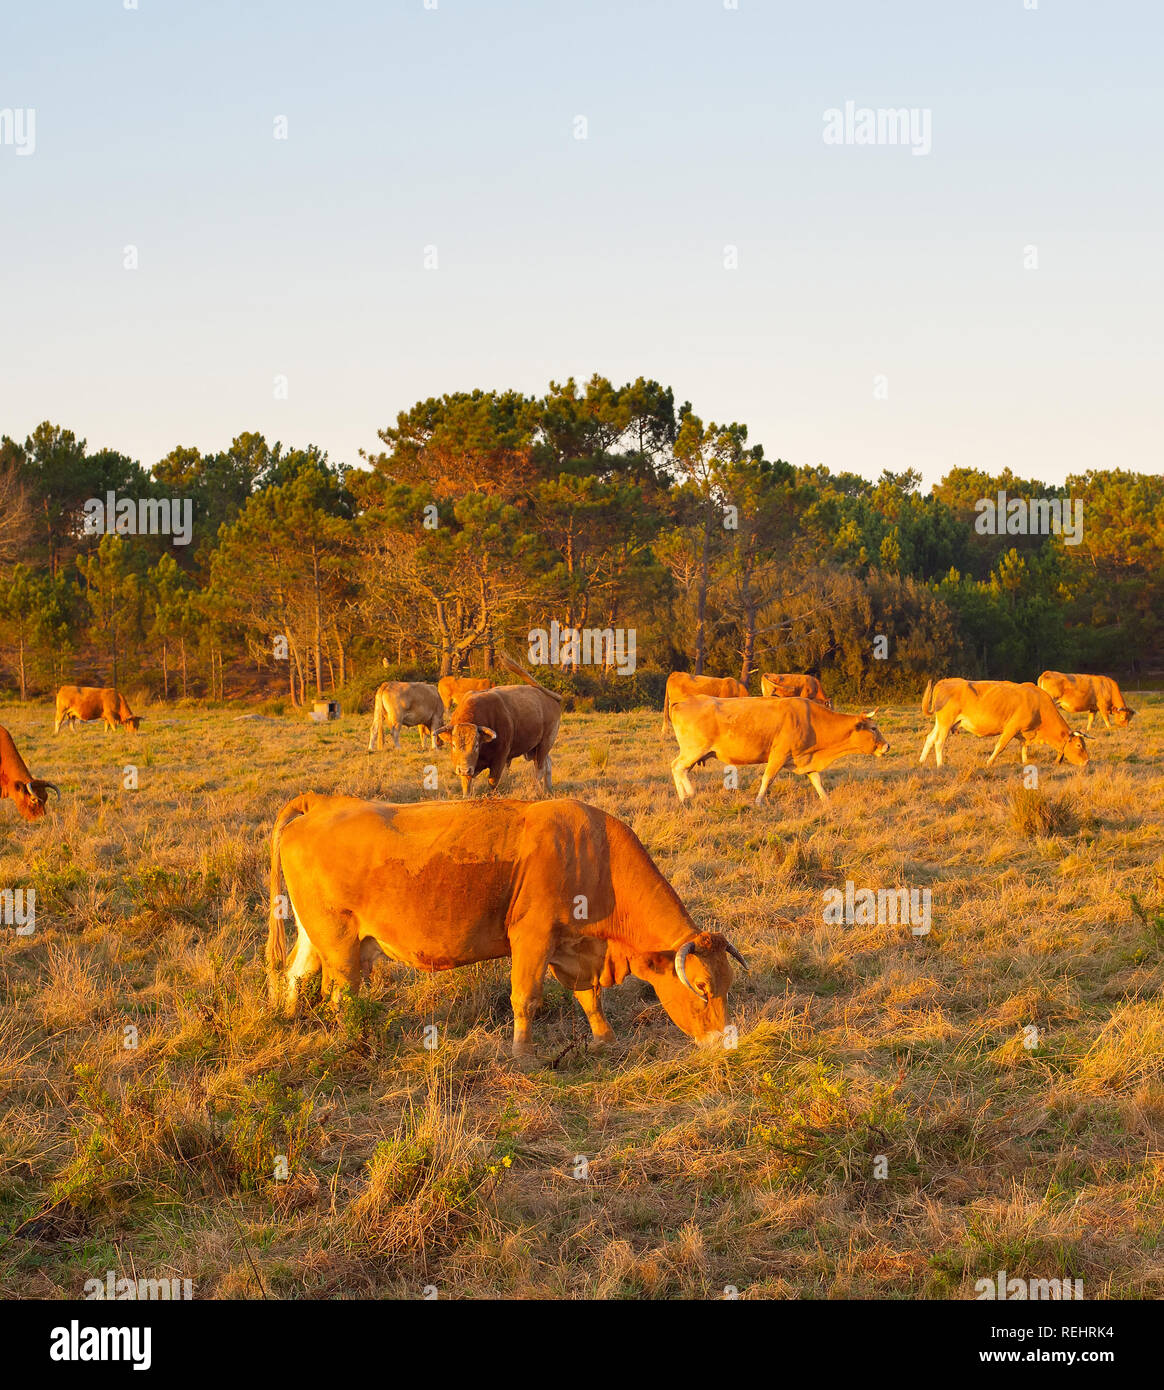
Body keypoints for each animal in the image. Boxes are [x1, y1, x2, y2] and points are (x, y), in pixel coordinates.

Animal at [265, 791, 747, 1056]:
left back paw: (289, 1020)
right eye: (702, 988)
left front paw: (605, 1039)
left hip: (315, 937)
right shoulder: (532, 939)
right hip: (341, 945)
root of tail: (324, 802)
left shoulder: (575, 949)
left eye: (727, 986)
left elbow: (589, 999)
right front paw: (523, 1053)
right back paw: (355, 1044)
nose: (727, 1043)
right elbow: (525, 999)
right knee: (341, 997)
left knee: (295, 975)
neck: (594, 856)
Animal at [437, 656, 562, 797]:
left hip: (544, 745)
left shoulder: (500, 759)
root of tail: (551, 698)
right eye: (453, 745)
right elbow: (466, 783)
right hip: (537, 749)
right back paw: (548, 789)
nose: (464, 769)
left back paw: (536, 790)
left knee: (539, 769)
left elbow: (492, 781)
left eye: (476, 745)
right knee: (547, 765)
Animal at [669, 695, 889, 804]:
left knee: (679, 769)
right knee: (678, 767)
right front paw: (759, 801)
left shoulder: (805, 758)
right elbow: (767, 779)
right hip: (694, 750)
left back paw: (683, 796)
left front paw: (826, 801)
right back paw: (688, 794)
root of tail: (683, 702)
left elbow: (817, 781)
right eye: (873, 728)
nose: (887, 746)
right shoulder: (779, 755)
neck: (810, 720)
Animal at [919, 679, 1089, 768]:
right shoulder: (1011, 728)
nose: (1087, 761)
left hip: (941, 723)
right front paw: (989, 762)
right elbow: (1000, 746)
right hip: (946, 723)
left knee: (930, 738)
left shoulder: (1023, 733)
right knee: (939, 742)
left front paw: (1025, 761)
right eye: (1079, 745)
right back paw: (940, 764)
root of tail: (945, 682)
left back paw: (921, 761)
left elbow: (1024, 747)